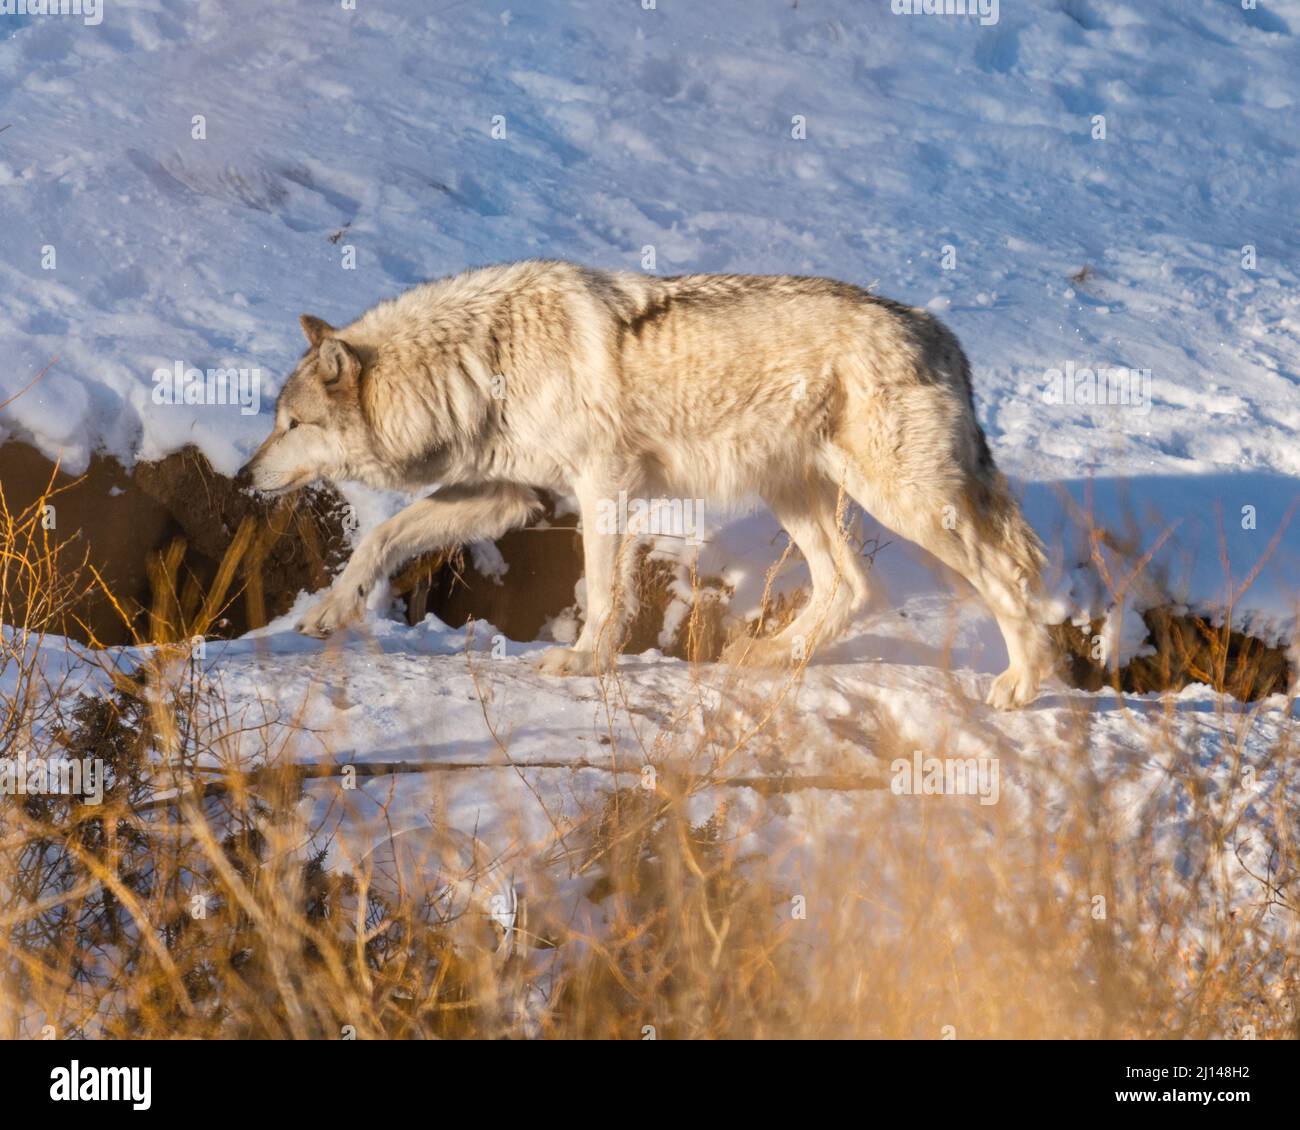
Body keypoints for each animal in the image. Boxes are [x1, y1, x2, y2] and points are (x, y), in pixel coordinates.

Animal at [237, 260, 1053, 708]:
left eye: (290, 423)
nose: (244, 476)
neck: (479, 363)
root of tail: (941, 333)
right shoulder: (508, 495)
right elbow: (382, 533)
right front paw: (331, 610)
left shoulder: (605, 482)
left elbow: (603, 590)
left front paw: (582, 661)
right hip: (793, 493)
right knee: (852, 587)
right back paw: (766, 659)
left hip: (908, 504)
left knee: (1009, 580)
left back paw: (1022, 685)